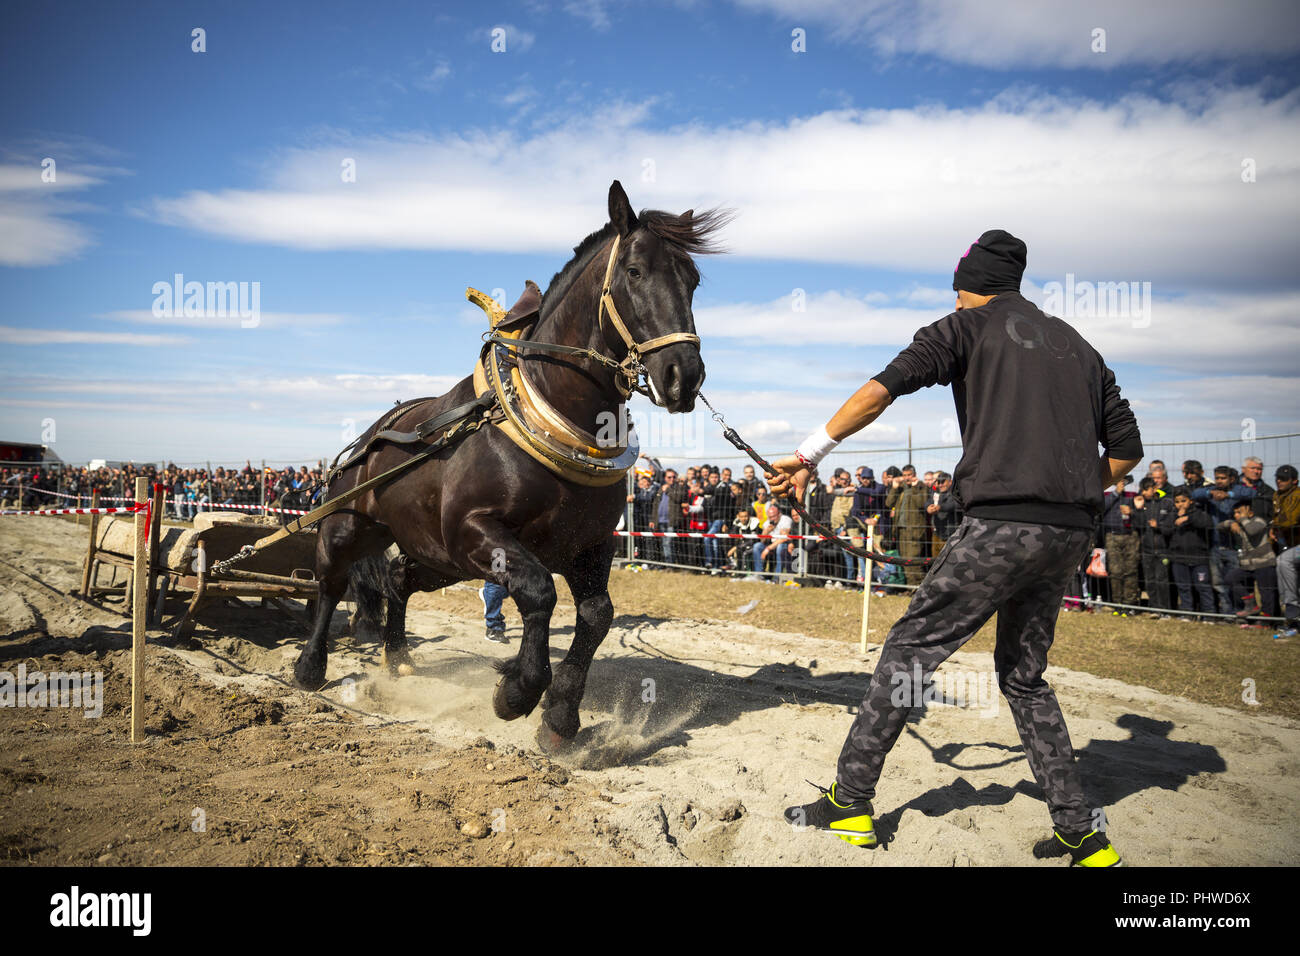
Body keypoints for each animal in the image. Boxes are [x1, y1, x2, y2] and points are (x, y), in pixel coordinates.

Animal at [292, 180, 727, 748]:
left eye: (692, 280)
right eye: (634, 271)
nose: (684, 375)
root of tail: (370, 438)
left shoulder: (589, 544)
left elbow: (596, 614)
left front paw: (560, 716)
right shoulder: (475, 532)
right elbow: (539, 592)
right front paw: (518, 690)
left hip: (436, 558)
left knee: (397, 578)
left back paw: (399, 657)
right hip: (356, 527)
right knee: (330, 584)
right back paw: (310, 666)